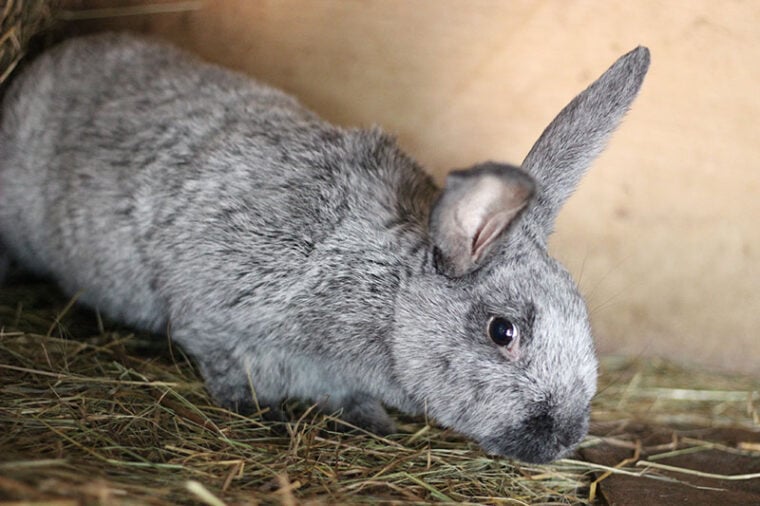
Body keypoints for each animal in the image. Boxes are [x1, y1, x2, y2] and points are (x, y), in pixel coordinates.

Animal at [0, 33, 649, 464]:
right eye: (502, 331)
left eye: (583, 313)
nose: (565, 439)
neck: (385, 298)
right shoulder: (216, 313)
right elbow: (222, 362)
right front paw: (262, 413)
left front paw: (371, 421)